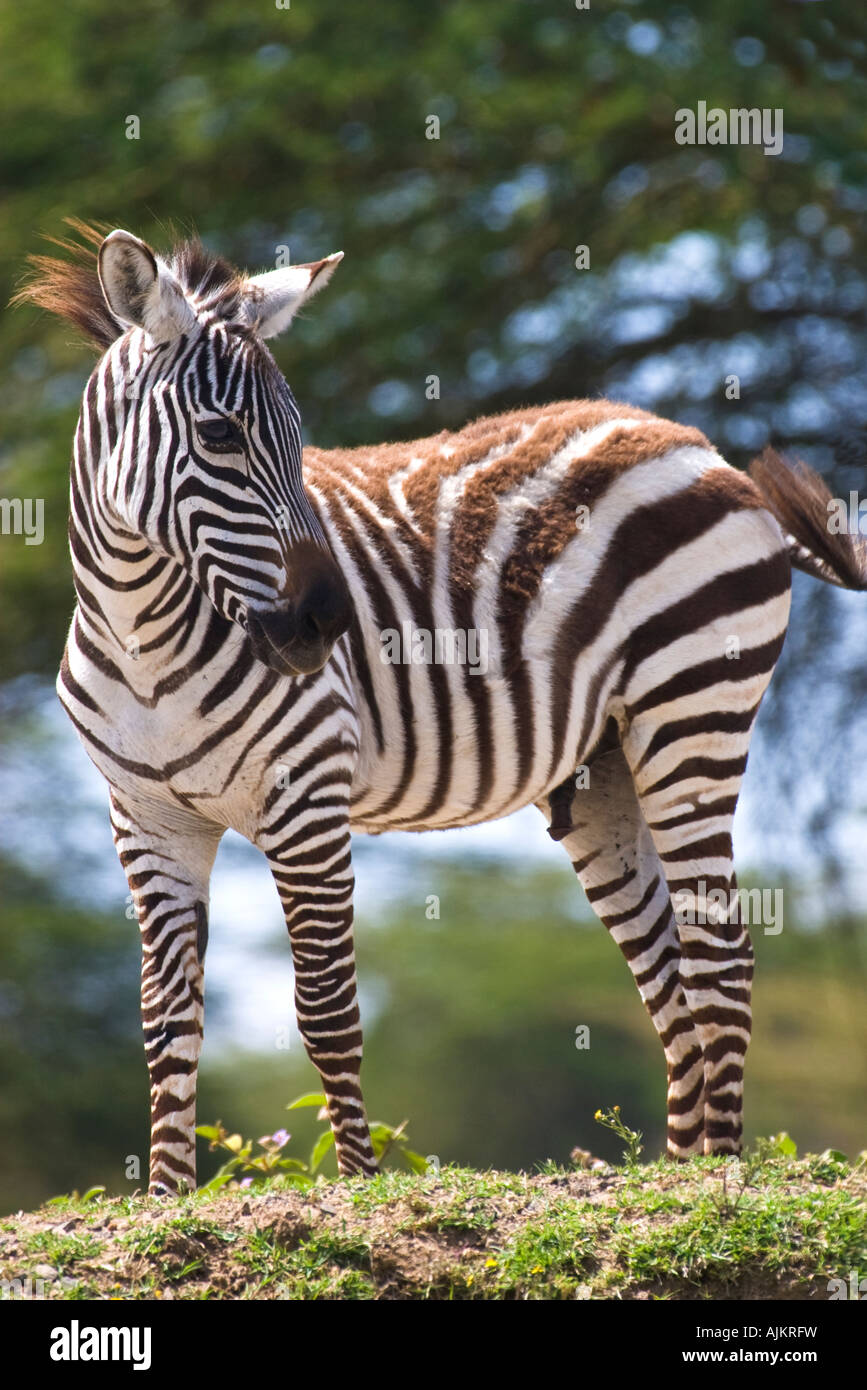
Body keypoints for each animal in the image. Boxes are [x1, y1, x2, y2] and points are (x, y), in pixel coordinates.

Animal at [16, 223, 867, 1195]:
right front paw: (166, 1198)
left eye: (300, 437)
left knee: (719, 953)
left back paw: (711, 1184)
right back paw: (675, 1174)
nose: (327, 623)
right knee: (667, 969)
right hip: (602, 767)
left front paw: (353, 1183)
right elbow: (166, 1022)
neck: (143, 638)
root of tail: (694, 442)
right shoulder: (146, 819)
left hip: (690, 709)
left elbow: (326, 1009)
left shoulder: (307, 796)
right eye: (220, 432)